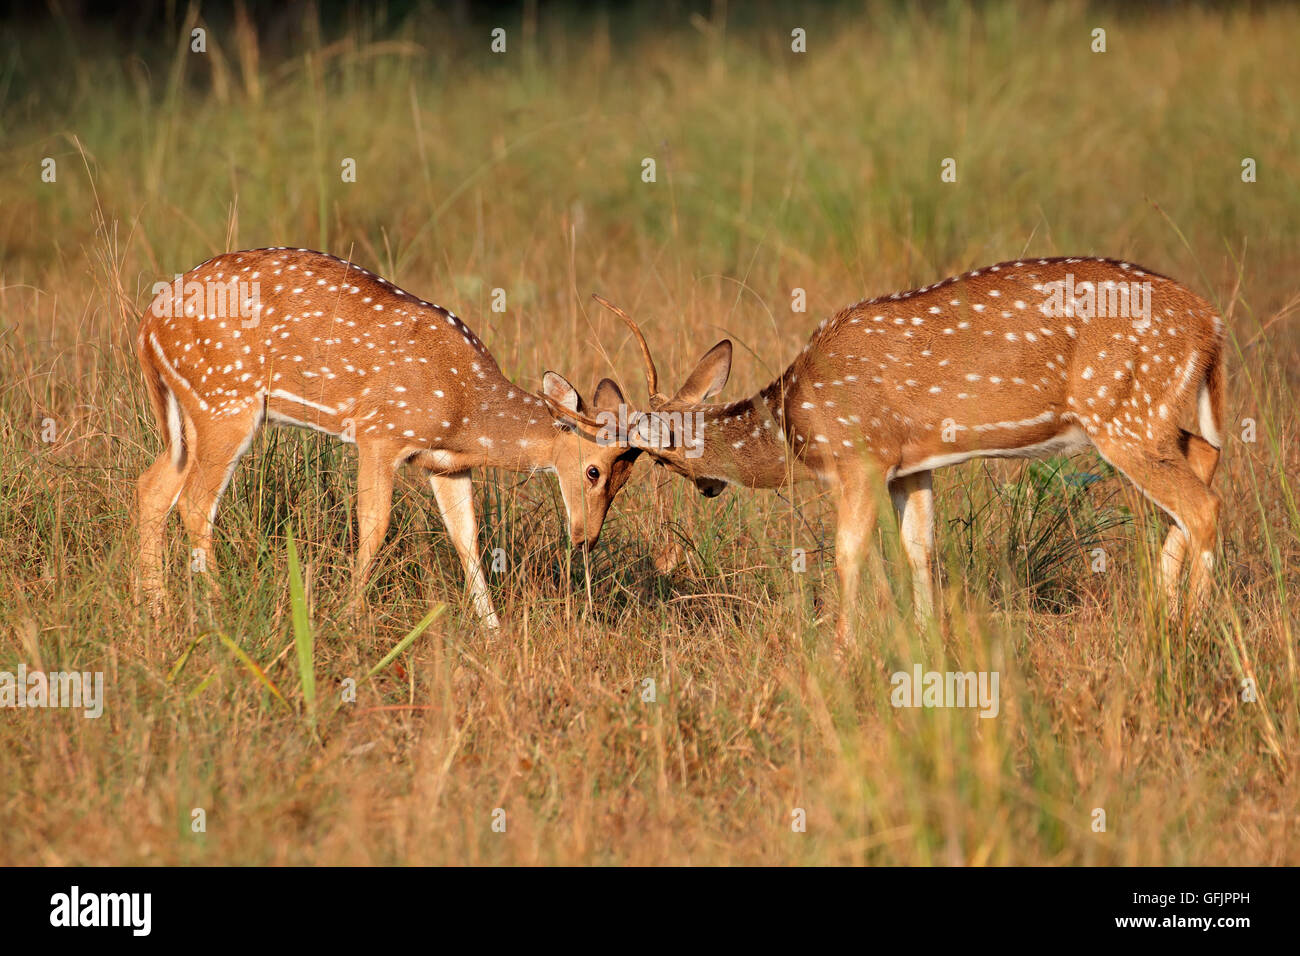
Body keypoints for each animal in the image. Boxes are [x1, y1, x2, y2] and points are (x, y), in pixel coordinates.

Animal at [135, 247, 642, 628]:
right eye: (593, 470)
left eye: (625, 480)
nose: (585, 540)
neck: (464, 410)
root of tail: (146, 327)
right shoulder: (380, 433)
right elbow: (375, 525)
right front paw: (348, 618)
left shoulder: (446, 464)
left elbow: (467, 540)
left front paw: (493, 632)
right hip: (225, 399)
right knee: (194, 502)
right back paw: (218, 608)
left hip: (192, 414)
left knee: (152, 486)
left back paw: (155, 609)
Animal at [547, 257, 1226, 648]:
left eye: (612, 467)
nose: (583, 537)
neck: (796, 422)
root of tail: (1212, 325)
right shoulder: (911, 467)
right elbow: (919, 550)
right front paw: (927, 639)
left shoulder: (859, 456)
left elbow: (848, 554)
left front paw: (843, 648)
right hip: (1159, 415)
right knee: (1203, 463)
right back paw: (1159, 615)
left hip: (1121, 413)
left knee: (1203, 505)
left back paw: (1193, 630)